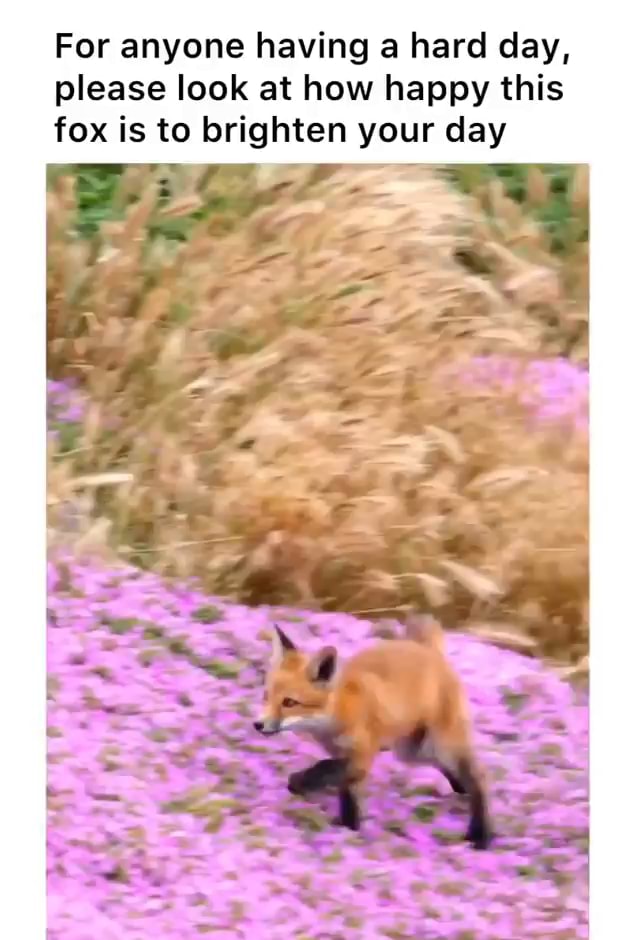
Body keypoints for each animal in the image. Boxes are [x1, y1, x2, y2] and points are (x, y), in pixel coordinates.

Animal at [253, 616, 492, 849]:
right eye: (266, 696)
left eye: (289, 702)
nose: (257, 724)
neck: (340, 715)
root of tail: (427, 649)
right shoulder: (344, 759)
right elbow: (348, 797)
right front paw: (349, 829)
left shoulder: (362, 757)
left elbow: (324, 769)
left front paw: (300, 782)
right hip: (413, 752)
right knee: (453, 770)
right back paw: (460, 789)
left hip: (438, 745)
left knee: (480, 777)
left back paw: (480, 834)